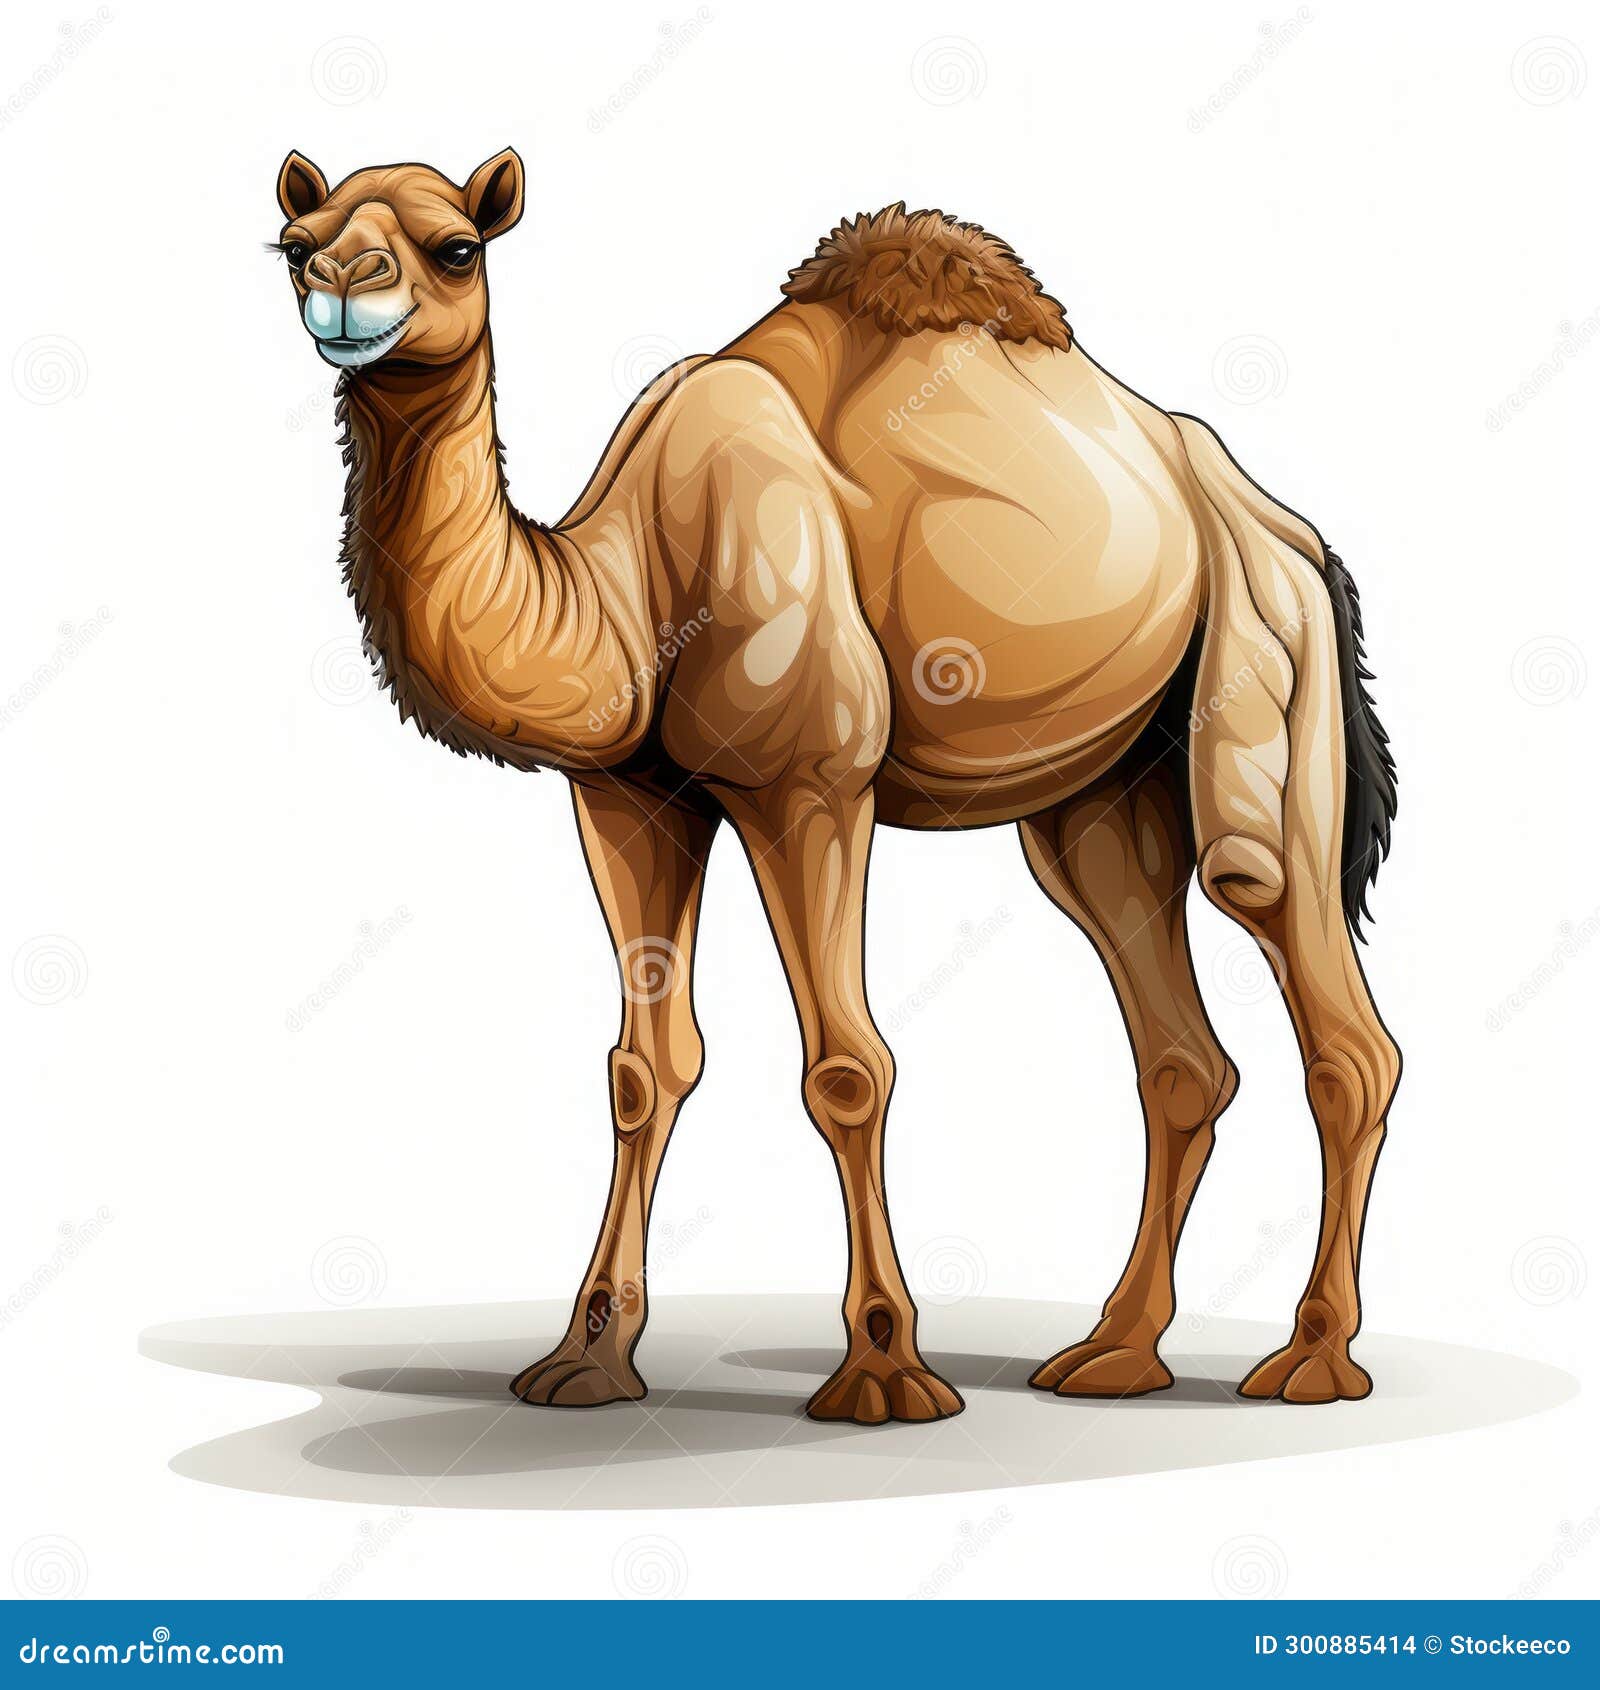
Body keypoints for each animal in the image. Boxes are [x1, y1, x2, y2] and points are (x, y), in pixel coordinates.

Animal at [274, 149, 1400, 1424]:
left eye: (457, 246)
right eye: (294, 241)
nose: (343, 287)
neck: (627, 583)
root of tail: (1282, 522)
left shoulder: (808, 780)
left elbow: (849, 1068)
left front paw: (884, 1371)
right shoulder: (627, 797)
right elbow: (641, 1068)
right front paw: (587, 1360)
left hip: (1268, 651)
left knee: (1317, 993)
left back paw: (1312, 1360)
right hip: (1104, 793)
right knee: (1174, 1046)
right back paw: (1113, 1352)